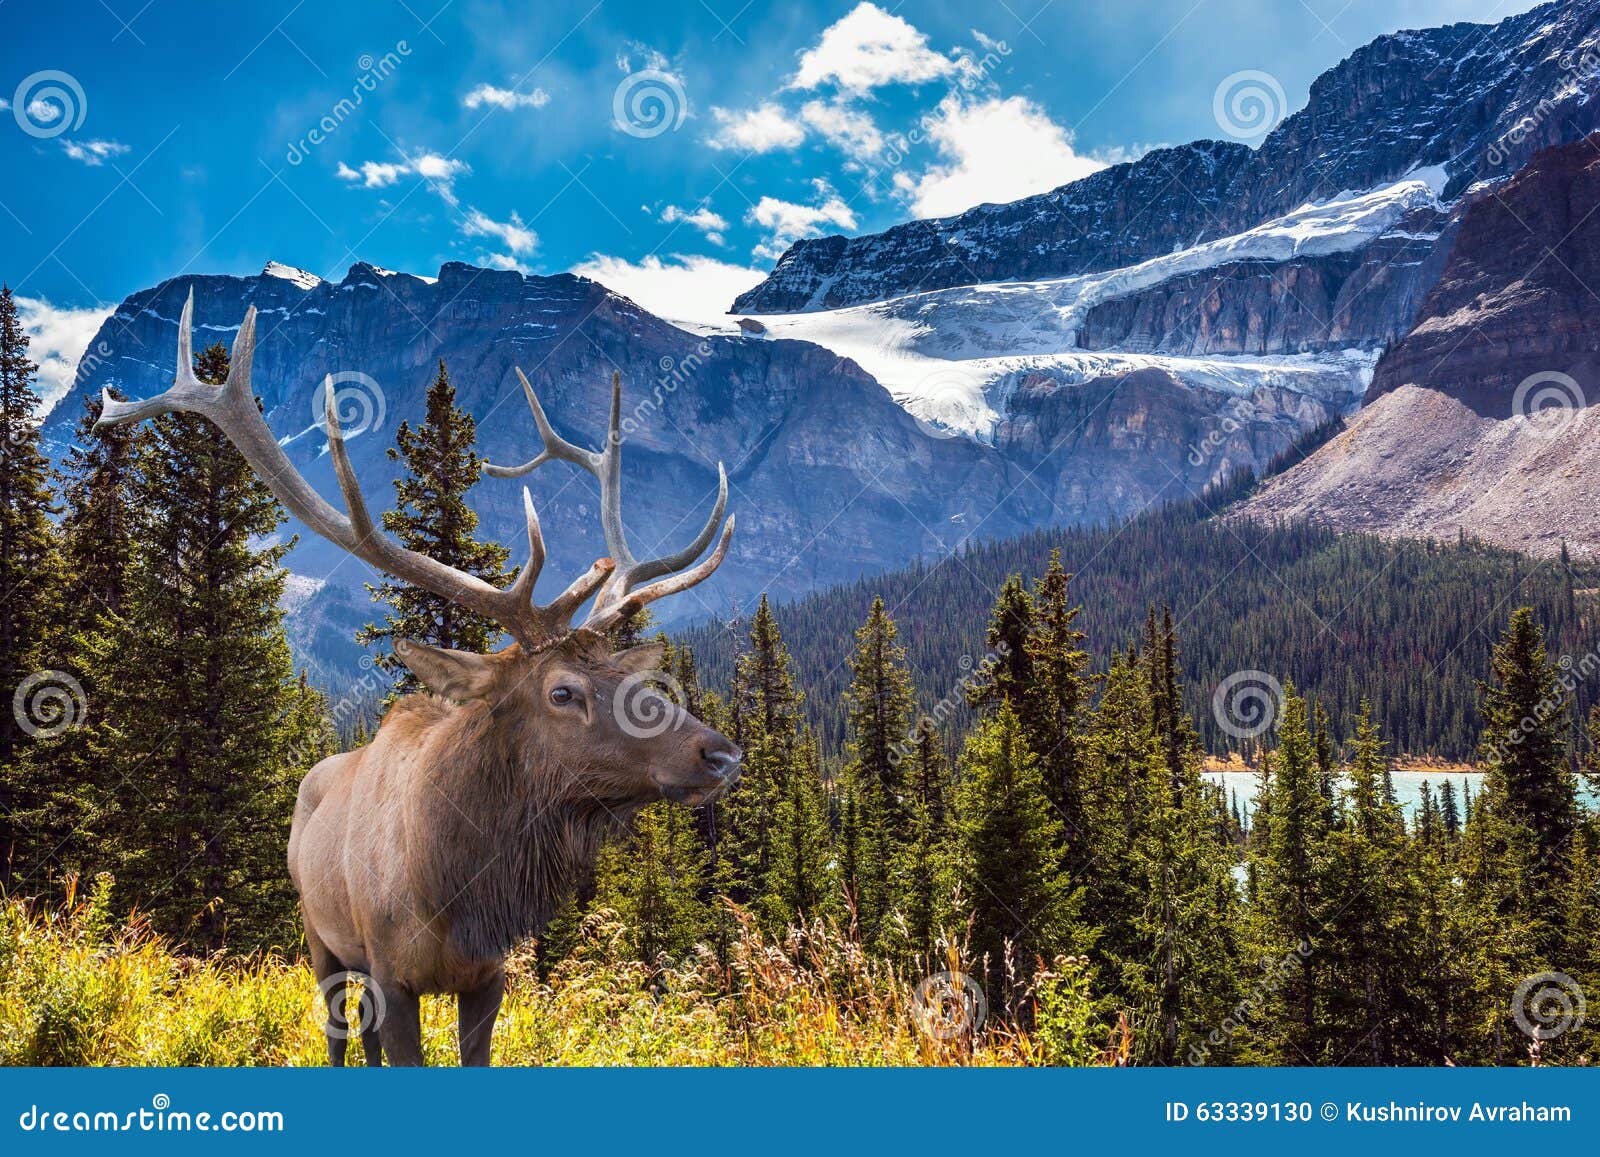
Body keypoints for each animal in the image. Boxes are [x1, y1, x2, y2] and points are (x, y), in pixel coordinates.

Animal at [95, 291, 743, 1066]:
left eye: (625, 673)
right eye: (562, 691)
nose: (721, 753)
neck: (455, 891)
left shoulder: (488, 977)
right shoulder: (390, 971)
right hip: (319, 936)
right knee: (339, 1032)